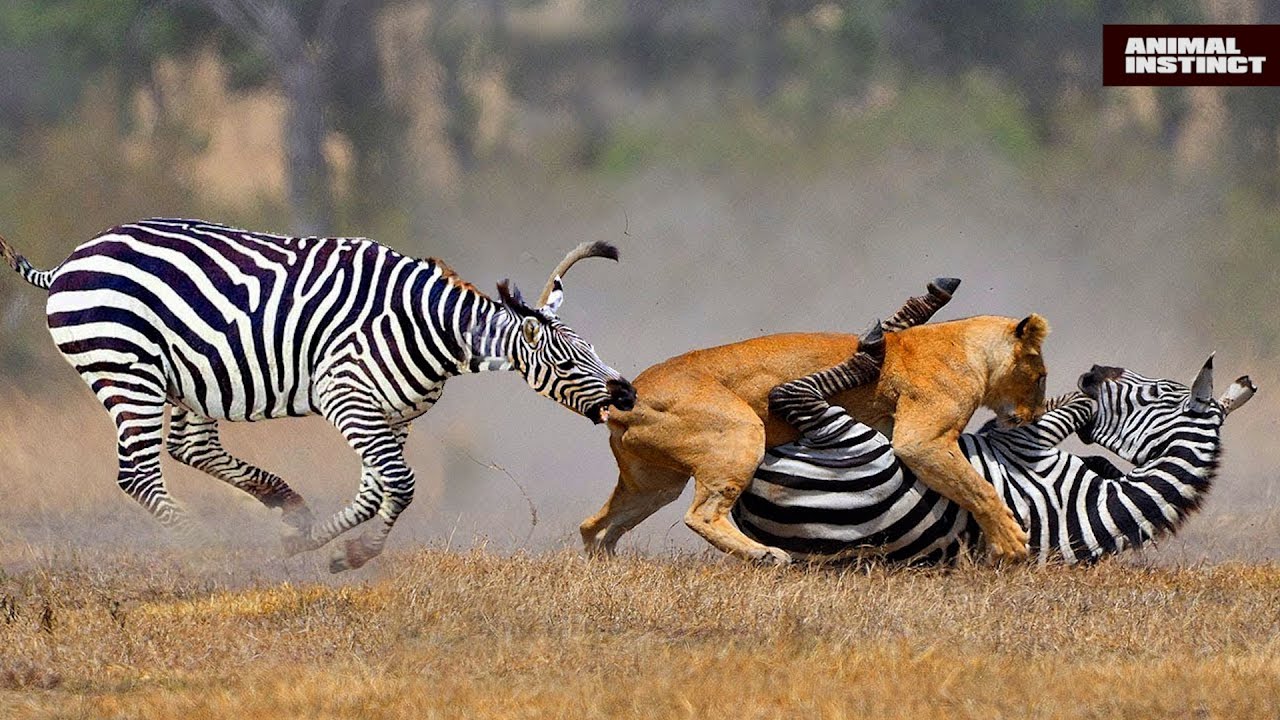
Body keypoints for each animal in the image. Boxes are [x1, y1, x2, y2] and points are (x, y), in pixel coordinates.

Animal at [0, 218, 636, 571]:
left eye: (591, 347)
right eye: (565, 360)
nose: (627, 395)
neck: (430, 328)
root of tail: (68, 263)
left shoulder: (391, 412)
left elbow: (375, 490)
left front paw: (307, 543)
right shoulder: (345, 396)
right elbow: (400, 486)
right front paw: (353, 556)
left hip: (187, 380)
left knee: (189, 448)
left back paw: (285, 504)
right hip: (125, 368)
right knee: (138, 474)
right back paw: (209, 549)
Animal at [733, 324, 1256, 564]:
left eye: (1157, 392)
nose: (1093, 370)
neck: (1100, 508)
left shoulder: (1023, 446)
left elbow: (1069, 414)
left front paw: (1080, 403)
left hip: (860, 446)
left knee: (794, 394)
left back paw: (871, 349)